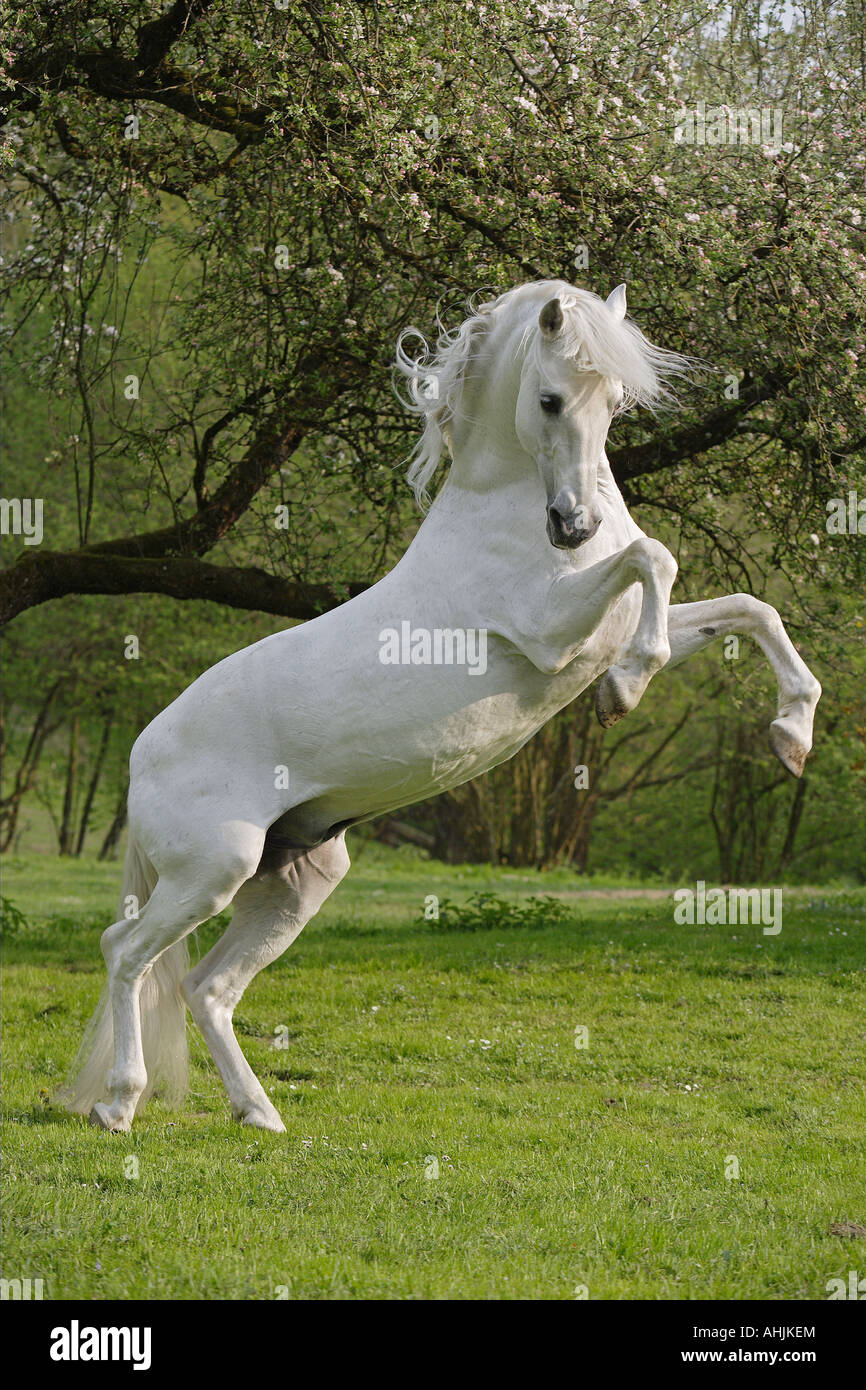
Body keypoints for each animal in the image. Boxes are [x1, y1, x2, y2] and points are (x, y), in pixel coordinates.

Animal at [60, 279, 821, 1133]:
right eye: (551, 399)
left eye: (618, 402)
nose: (574, 526)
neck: (505, 517)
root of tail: (141, 754)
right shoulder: (553, 634)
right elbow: (652, 558)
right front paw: (629, 690)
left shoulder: (601, 633)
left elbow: (744, 607)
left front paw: (792, 735)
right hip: (210, 873)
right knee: (126, 951)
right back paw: (119, 1104)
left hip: (293, 880)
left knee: (206, 987)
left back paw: (260, 1114)